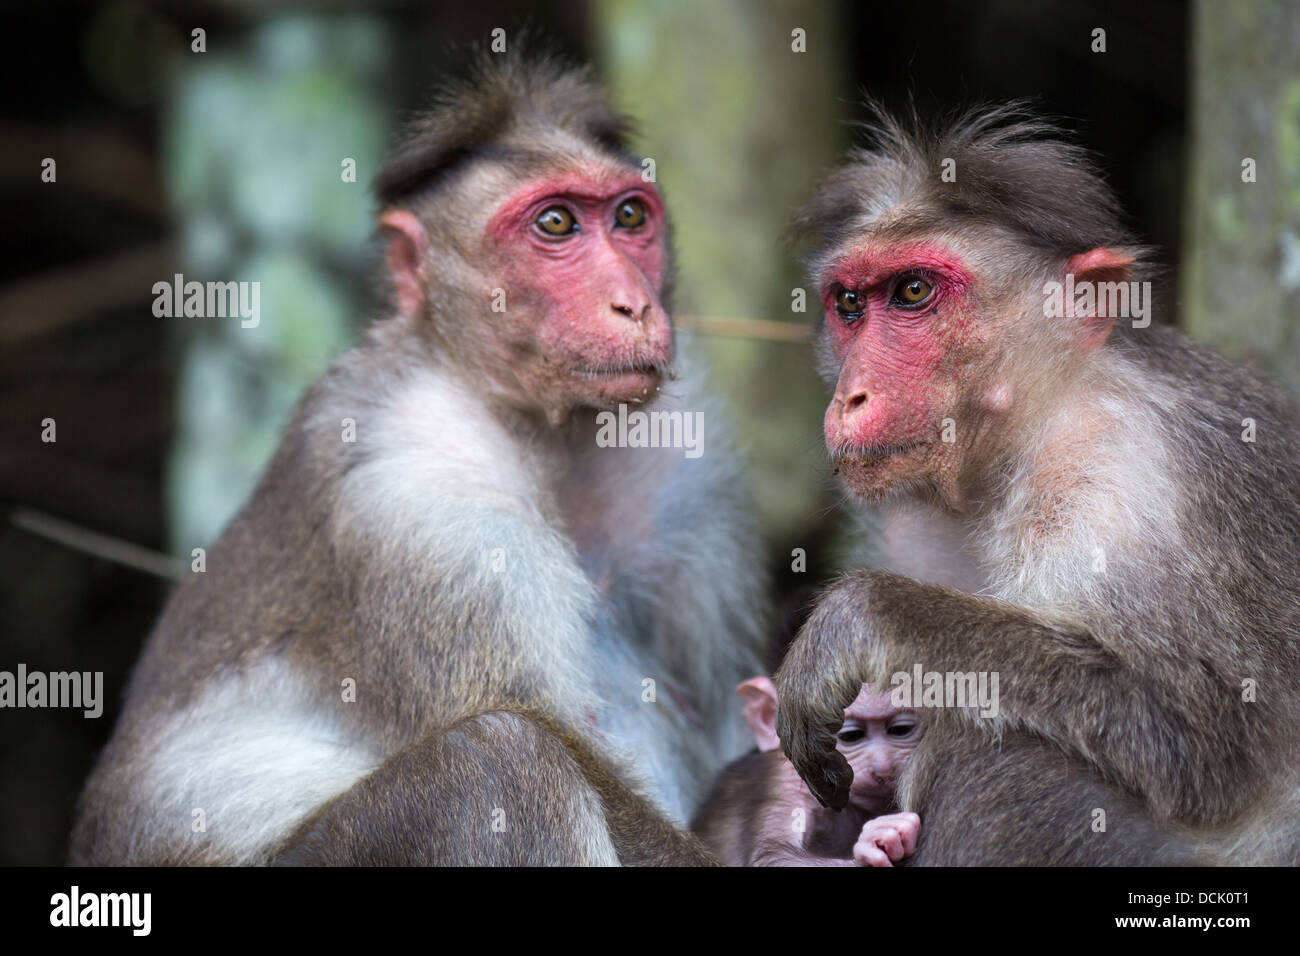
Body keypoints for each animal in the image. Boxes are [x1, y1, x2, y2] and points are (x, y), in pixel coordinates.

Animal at [69, 53, 765, 866]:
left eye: (630, 217)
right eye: (556, 224)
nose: (634, 303)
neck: (536, 427)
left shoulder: (688, 468)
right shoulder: (419, 497)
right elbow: (555, 739)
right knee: (497, 760)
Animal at [692, 677, 921, 866]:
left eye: (900, 730)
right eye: (851, 735)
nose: (883, 768)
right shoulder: (787, 779)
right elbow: (771, 858)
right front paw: (873, 844)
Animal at [774, 102, 1300, 866]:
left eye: (912, 292)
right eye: (849, 304)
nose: (852, 397)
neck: (1032, 424)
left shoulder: (1117, 484)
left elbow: (1201, 744)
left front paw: (860, 617)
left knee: (986, 758)